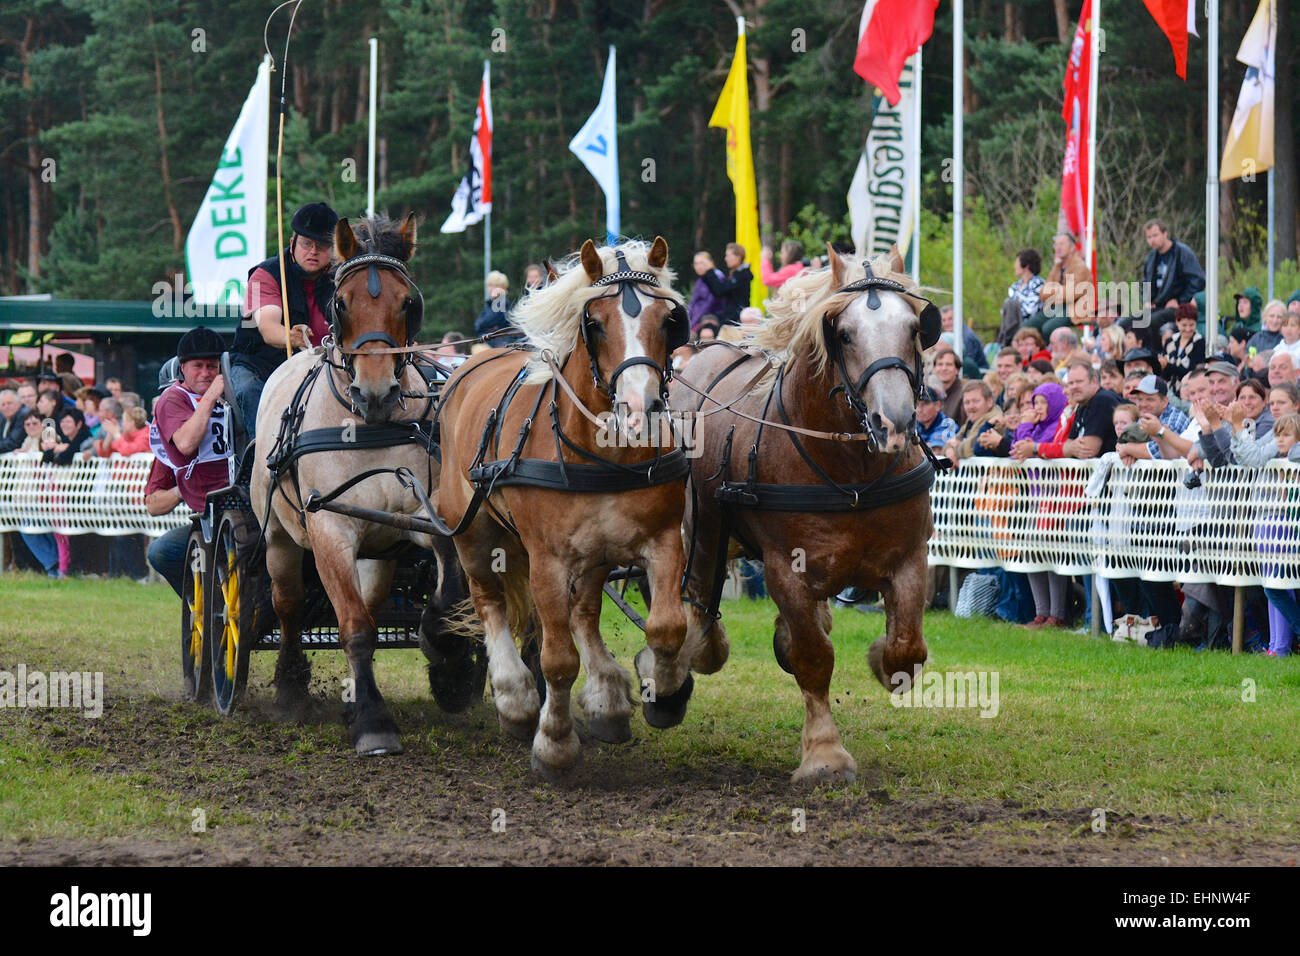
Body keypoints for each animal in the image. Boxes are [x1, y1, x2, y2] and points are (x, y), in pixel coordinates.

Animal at [436, 235, 696, 780]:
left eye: (669, 320)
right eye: (593, 322)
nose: (640, 409)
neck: (607, 455)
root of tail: (463, 368)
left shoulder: (663, 540)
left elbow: (666, 628)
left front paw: (662, 691)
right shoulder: (547, 560)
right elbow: (556, 661)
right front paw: (553, 744)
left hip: (593, 553)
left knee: (584, 610)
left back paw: (607, 699)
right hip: (472, 534)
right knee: (490, 602)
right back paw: (514, 698)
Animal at [665, 247, 941, 785]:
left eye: (915, 328)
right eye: (844, 333)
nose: (893, 422)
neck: (851, 471)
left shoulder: (908, 559)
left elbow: (907, 648)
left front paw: (881, 662)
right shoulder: (784, 568)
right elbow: (813, 658)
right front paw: (824, 754)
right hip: (703, 528)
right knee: (699, 595)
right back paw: (695, 653)